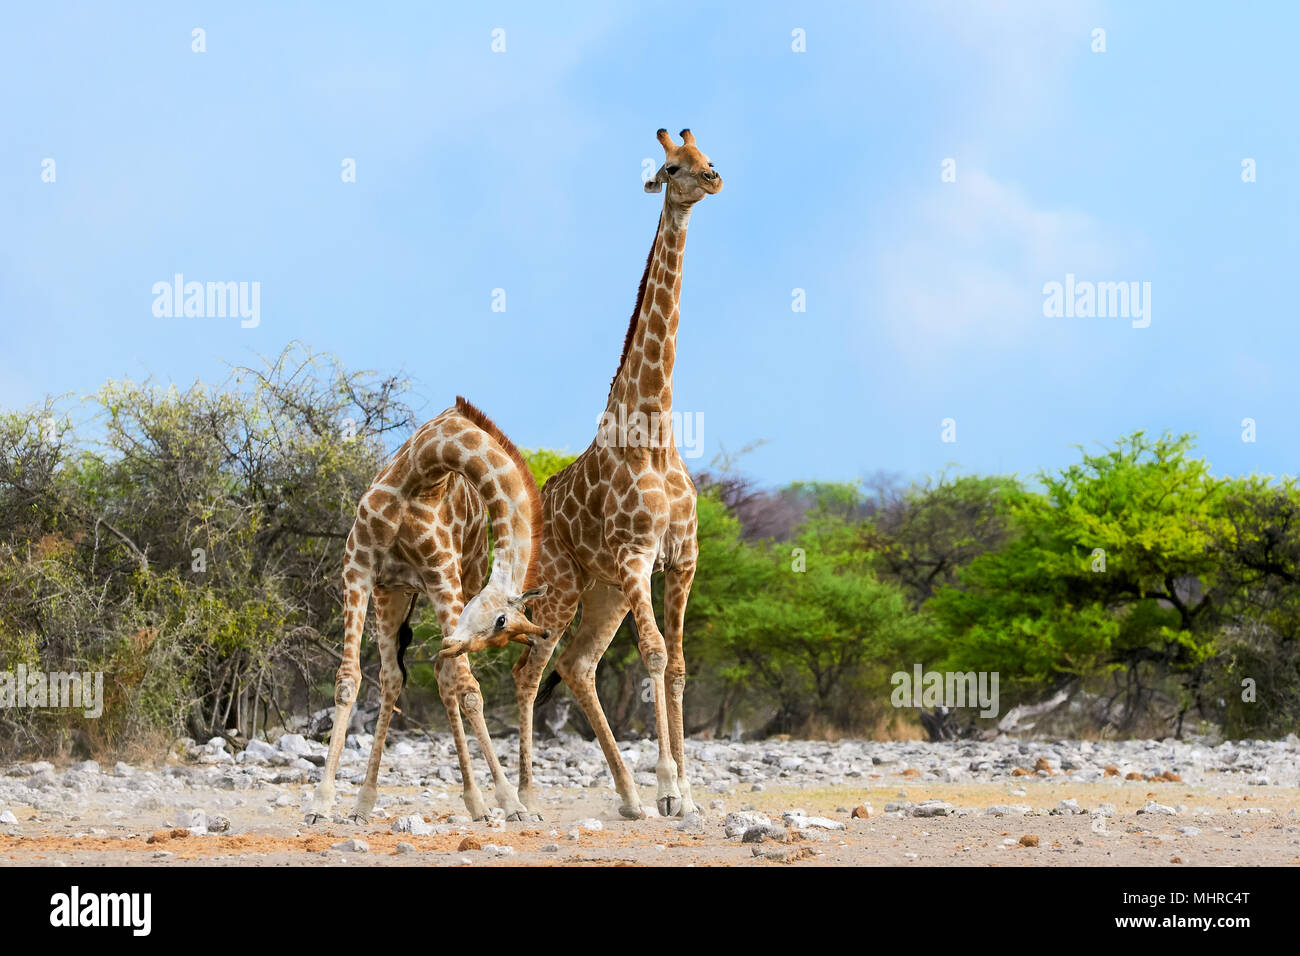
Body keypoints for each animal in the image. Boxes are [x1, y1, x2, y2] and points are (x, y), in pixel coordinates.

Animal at [305, 397, 548, 825]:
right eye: (501, 620)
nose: (455, 643)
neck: (424, 467)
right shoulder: (358, 569)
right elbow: (347, 680)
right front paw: (320, 803)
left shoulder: (443, 578)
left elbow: (469, 691)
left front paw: (510, 802)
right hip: (393, 595)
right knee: (394, 677)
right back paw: (364, 802)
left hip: (460, 581)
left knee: (446, 677)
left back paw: (478, 802)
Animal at [453, 128, 721, 820]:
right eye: (670, 167)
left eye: (705, 153)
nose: (712, 178)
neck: (653, 432)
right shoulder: (635, 559)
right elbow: (654, 654)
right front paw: (669, 787)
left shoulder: (682, 558)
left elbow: (678, 665)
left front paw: (687, 793)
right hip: (564, 589)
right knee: (530, 673)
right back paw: (528, 796)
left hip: (602, 593)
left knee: (575, 666)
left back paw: (625, 796)